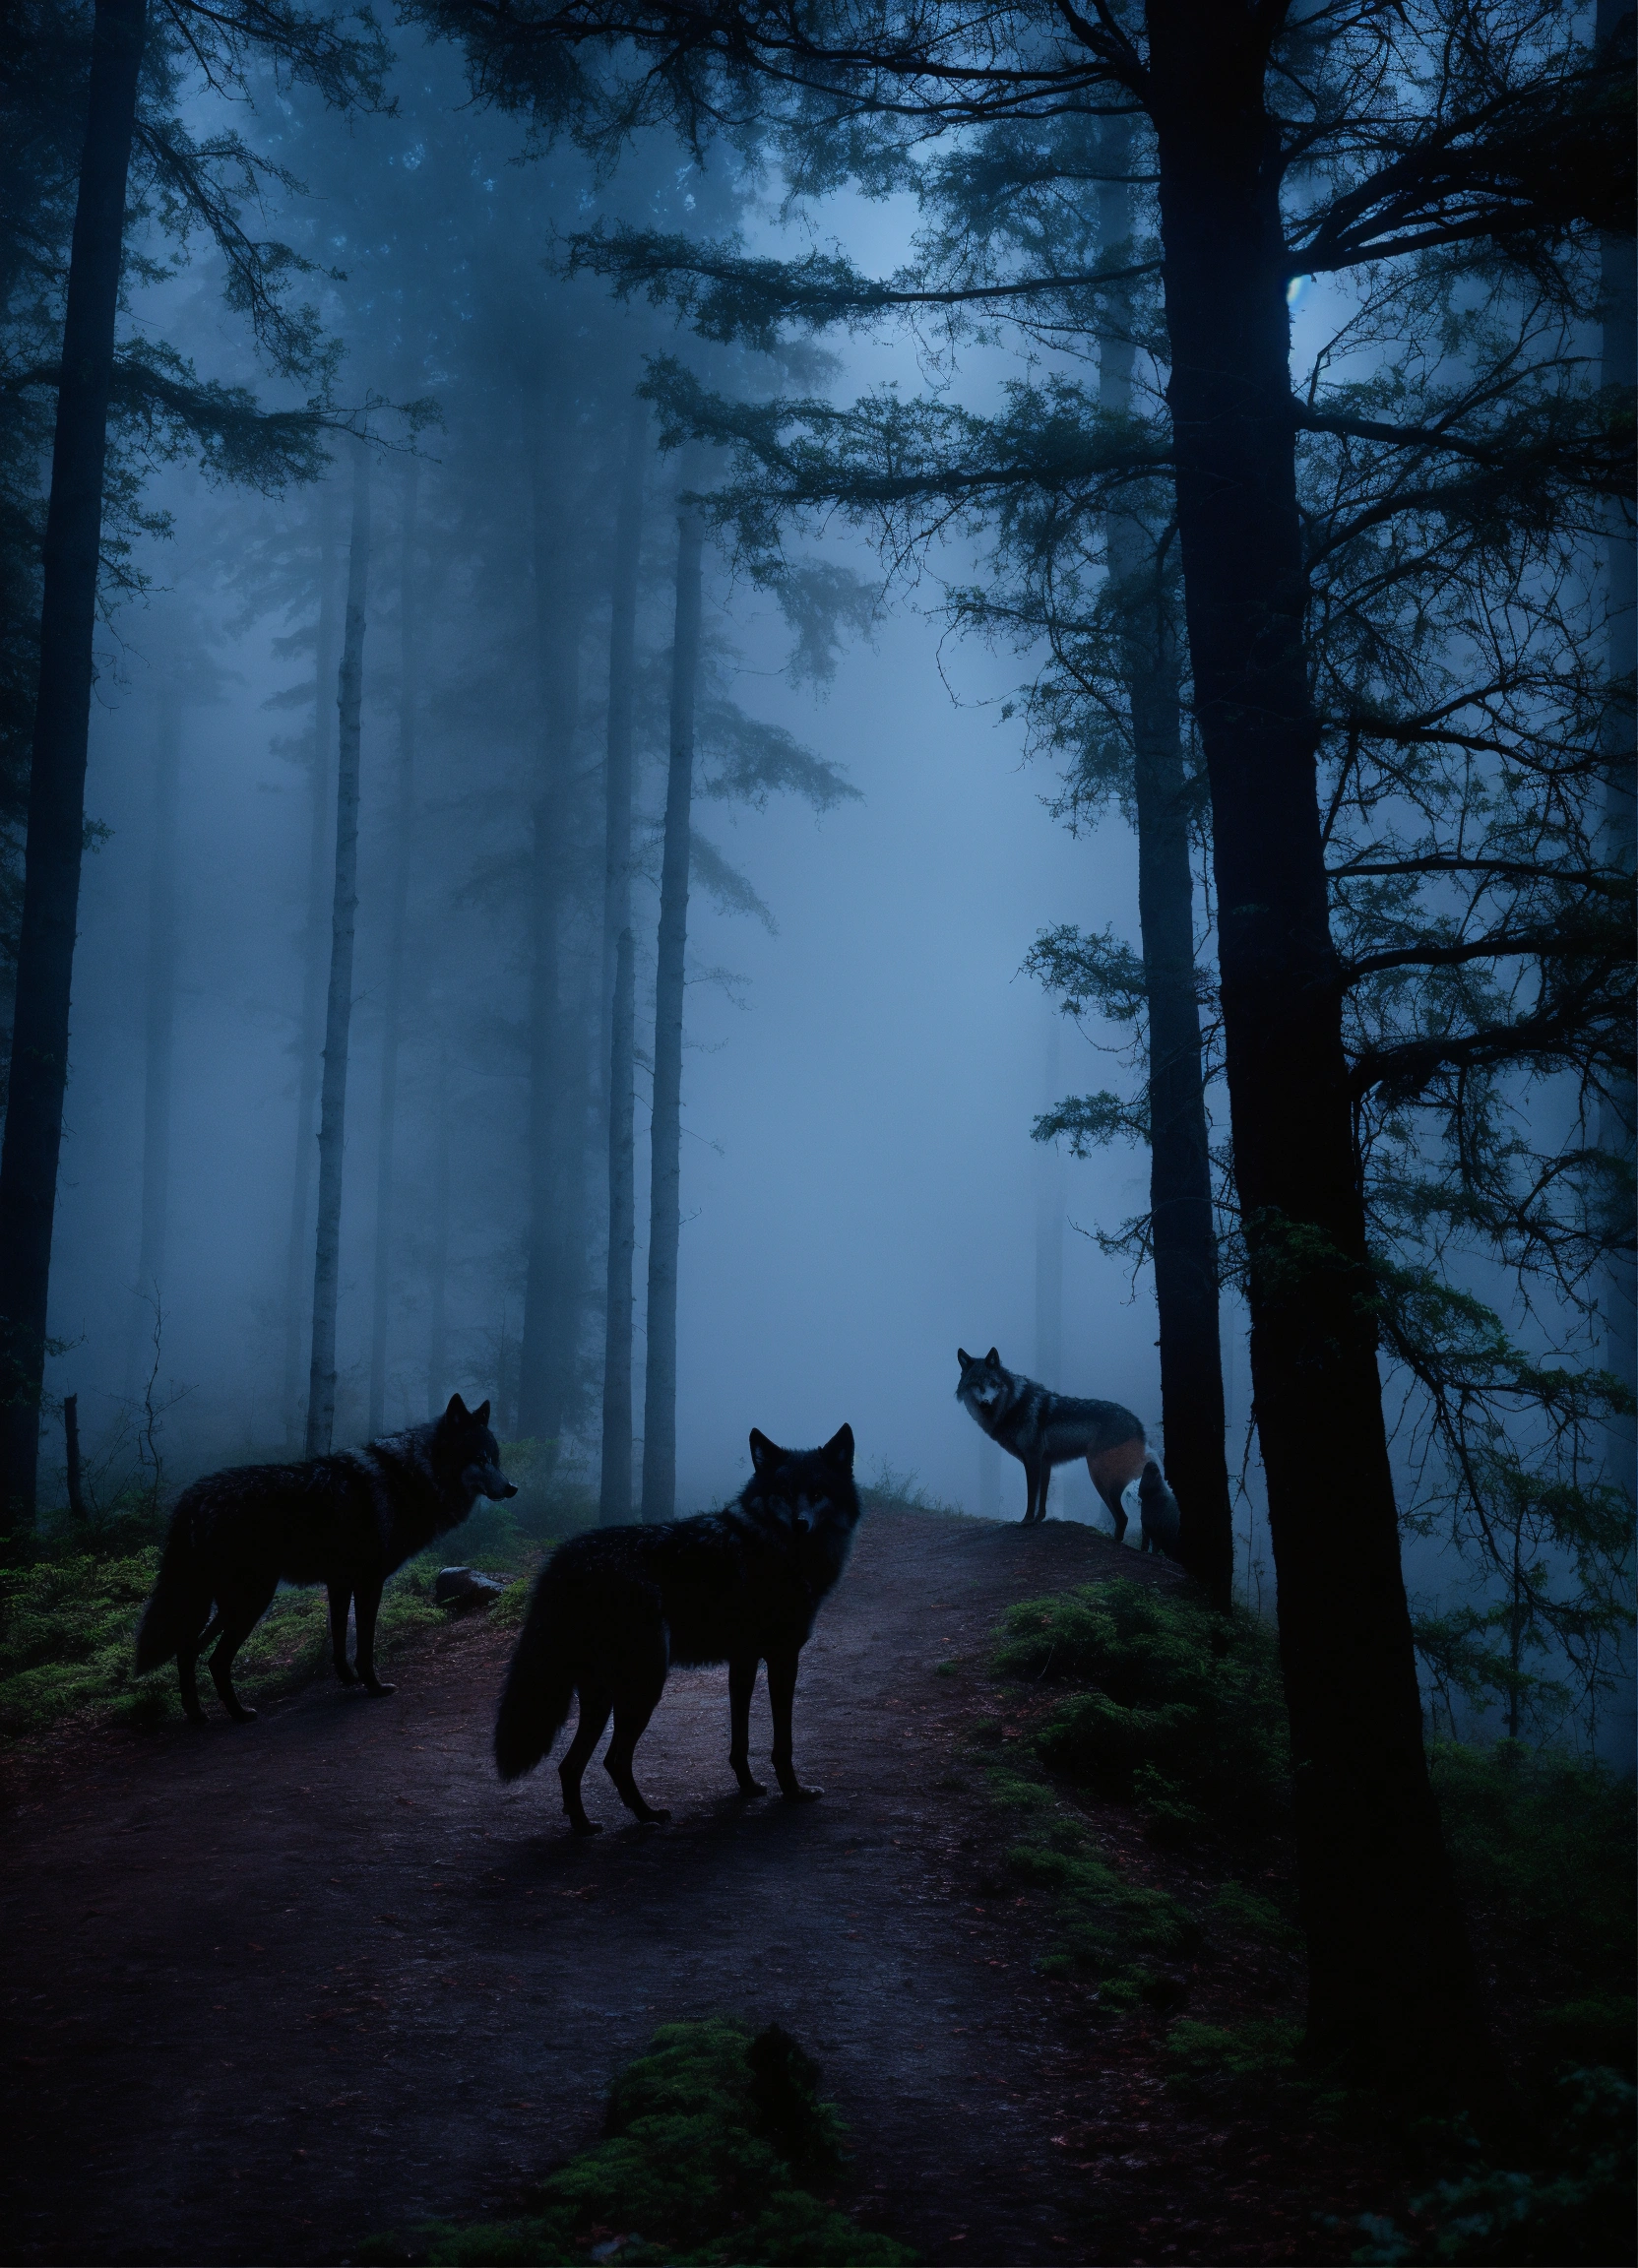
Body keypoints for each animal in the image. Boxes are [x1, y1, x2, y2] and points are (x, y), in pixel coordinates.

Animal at [134, 1395, 516, 1723]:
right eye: (481, 1458)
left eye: (496, 1459)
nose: (512, 1488)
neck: (412, 1476)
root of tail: (193, 1497)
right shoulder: (369, 1582)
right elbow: (364, 1643)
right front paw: (373, 1686)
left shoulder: (339, 1583)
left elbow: (338, 1638)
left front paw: (346, 1678)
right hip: (252, 1601)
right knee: (215, 1659)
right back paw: (238, 1714)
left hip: (226, 1604)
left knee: (188, 1651)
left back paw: (198, 1715)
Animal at [493, 1423, 859, 1836]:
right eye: (783, 1492)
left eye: (817, 1492)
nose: (800, 1523)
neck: (776, 1548)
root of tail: (564, 1559)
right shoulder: (783, 1658)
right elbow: (783, 1741)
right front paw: (794, 1792)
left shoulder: (744, 1662)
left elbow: (740, 1736)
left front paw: (748, 1787)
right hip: (644, 1685)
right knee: (613, 1760)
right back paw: (647, 1816)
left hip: (602, 1697)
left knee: (569, 1765)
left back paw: (585, 1827)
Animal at [956, 1346, 1153, 1535]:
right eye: (976, 1384)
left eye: (993, 1383)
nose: (985, 1403)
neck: (1013, 1405)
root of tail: (1137, 1423)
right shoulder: (1045, 1462)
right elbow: (1042, 1499)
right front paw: (1037, 1520)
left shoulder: (1033, 1459)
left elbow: (1032, 1496)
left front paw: (1026, 1521)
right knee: (1122, 1518)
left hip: (1099, 1476)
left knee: (1122, 1518)